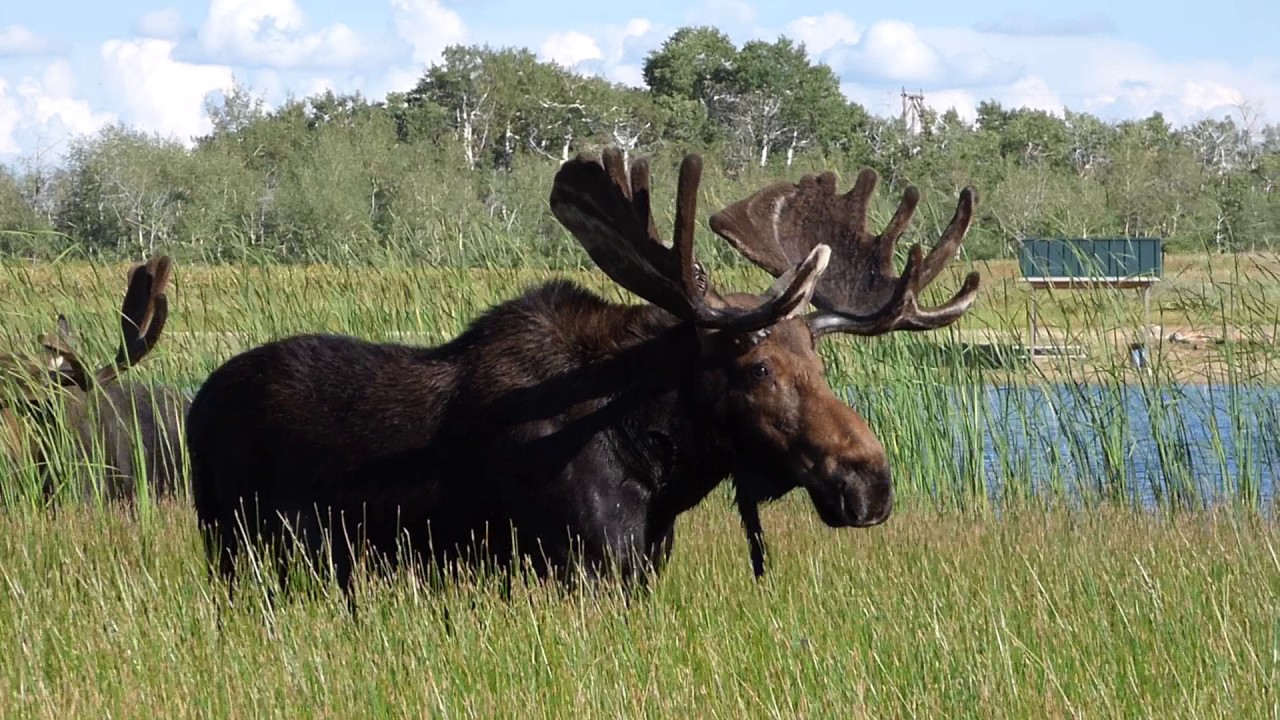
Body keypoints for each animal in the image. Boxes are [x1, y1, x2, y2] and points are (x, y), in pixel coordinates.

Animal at [185, 147, 980, 605]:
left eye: (819, 362)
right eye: (756, 364)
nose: (870, 482)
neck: (660, 469)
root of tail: (196, 403)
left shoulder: (642, 569)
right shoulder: (577, 568)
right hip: (234, 547)